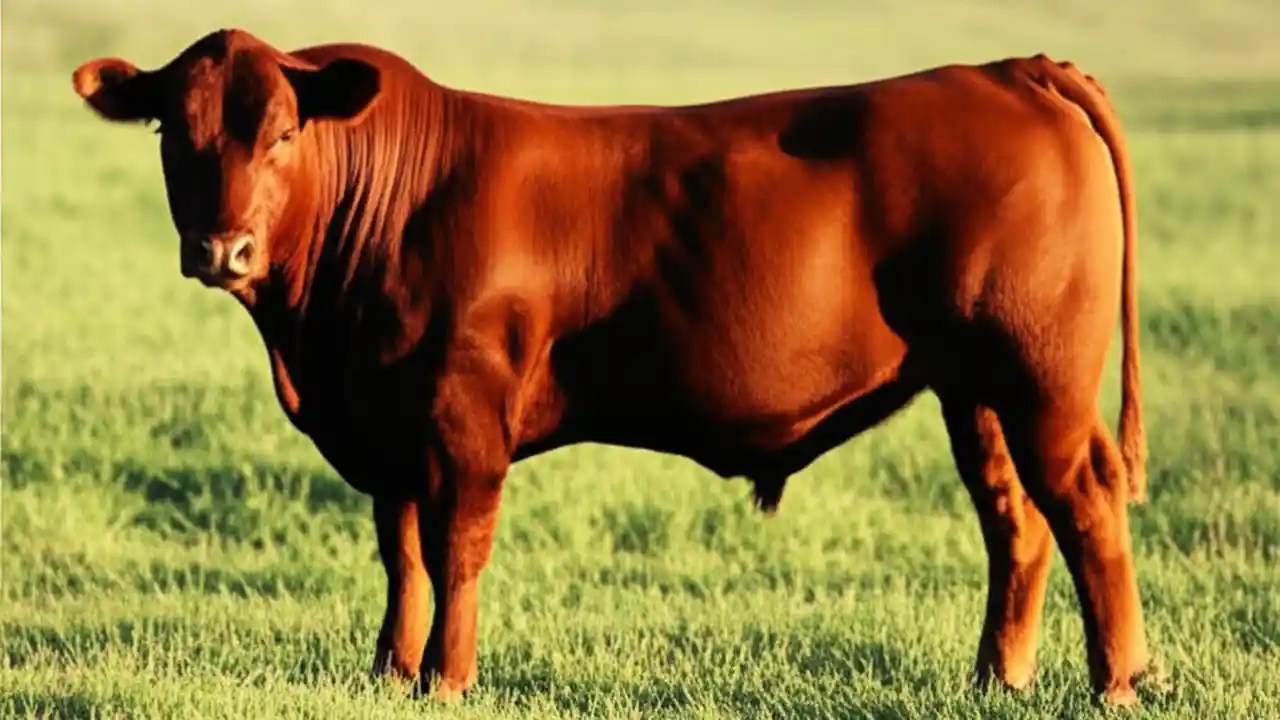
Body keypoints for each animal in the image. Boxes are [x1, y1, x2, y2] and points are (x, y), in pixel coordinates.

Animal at [72, 28, 1150, 705]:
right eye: (174, 132)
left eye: (286, 130)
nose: (222, 249)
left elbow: (456, 552)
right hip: (973, 388)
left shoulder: (463, 418)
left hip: (1040, 374)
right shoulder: (389, 429)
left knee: (1085, 505)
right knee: (1014, 522)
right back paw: (996, 679)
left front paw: (447, 679)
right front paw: (389, 673)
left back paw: (1117, 683)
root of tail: (1005, 69)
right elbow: (402, 555)